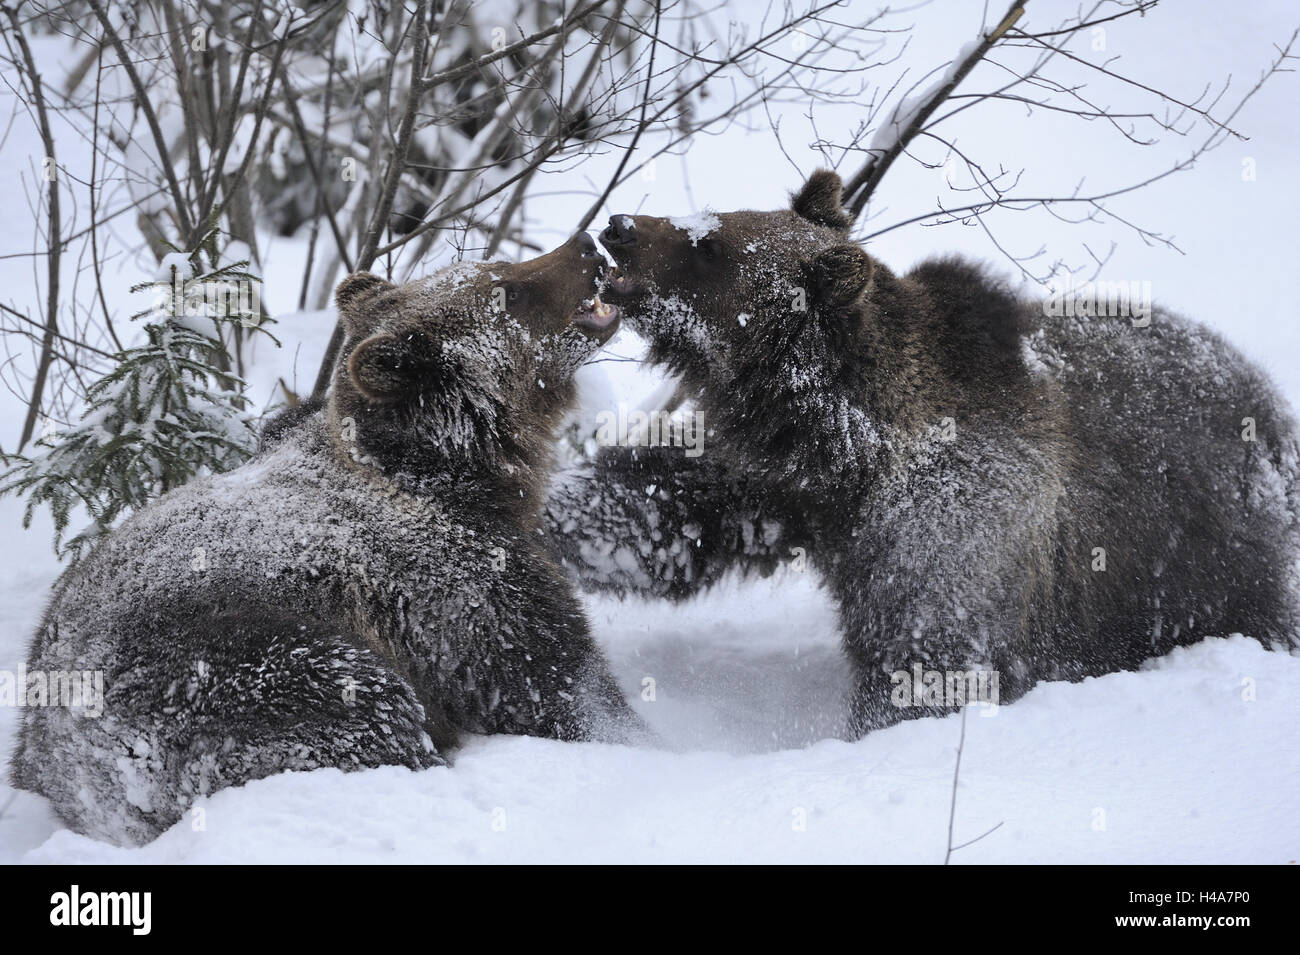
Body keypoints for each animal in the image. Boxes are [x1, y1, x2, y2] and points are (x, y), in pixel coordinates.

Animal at [10, 231, 638, 845]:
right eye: (508, 289)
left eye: (500, 261)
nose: (586, 243)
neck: (460, 471)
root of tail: (75, 790)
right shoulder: (455, 592)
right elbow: (556, 686)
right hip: (218, 678)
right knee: (363, 707)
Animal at [543, 170, 1300, 736]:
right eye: (710, 215)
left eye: (710, 242)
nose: (619, 226)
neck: (849, 445)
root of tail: (1269, 400)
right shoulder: (771, 477)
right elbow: (660, 510)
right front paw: (547, 517)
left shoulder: (949, 527)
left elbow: (925, 663)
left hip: (1208, 555)